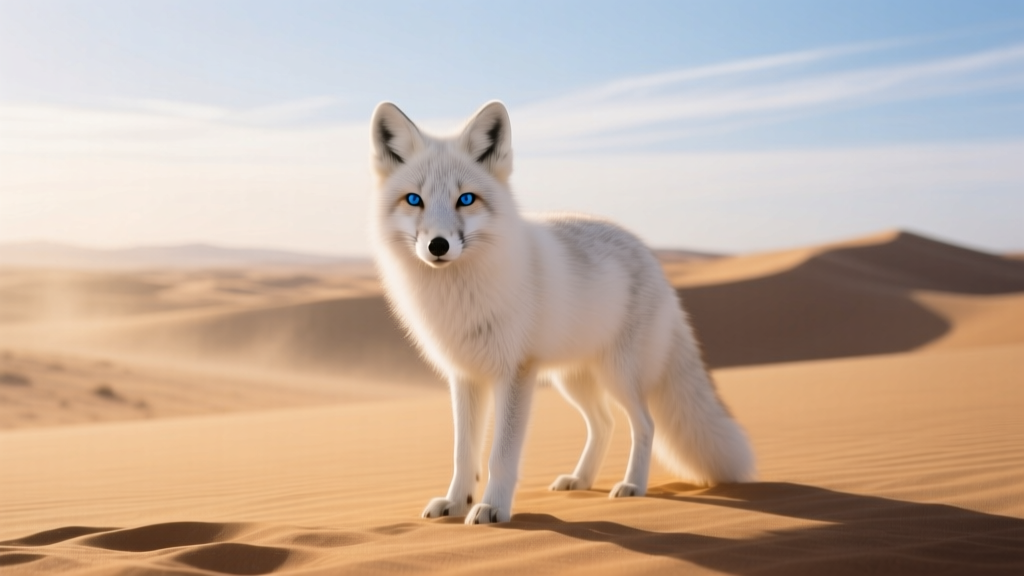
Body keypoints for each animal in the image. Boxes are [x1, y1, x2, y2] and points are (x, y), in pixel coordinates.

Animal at [369, 101, 754, 525]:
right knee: (604, 424)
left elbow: (501, 456)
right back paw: (581, 480)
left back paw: (632, 485)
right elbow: (463, 454)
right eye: (414, 200)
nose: (438, 246)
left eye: (466, 200)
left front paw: (493, 507)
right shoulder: (466, 377)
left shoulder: (514, 373)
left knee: (644, 424)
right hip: (573, 379)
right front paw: (456, 502)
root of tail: (649, 254)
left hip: (617, 376)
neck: (459, 295)